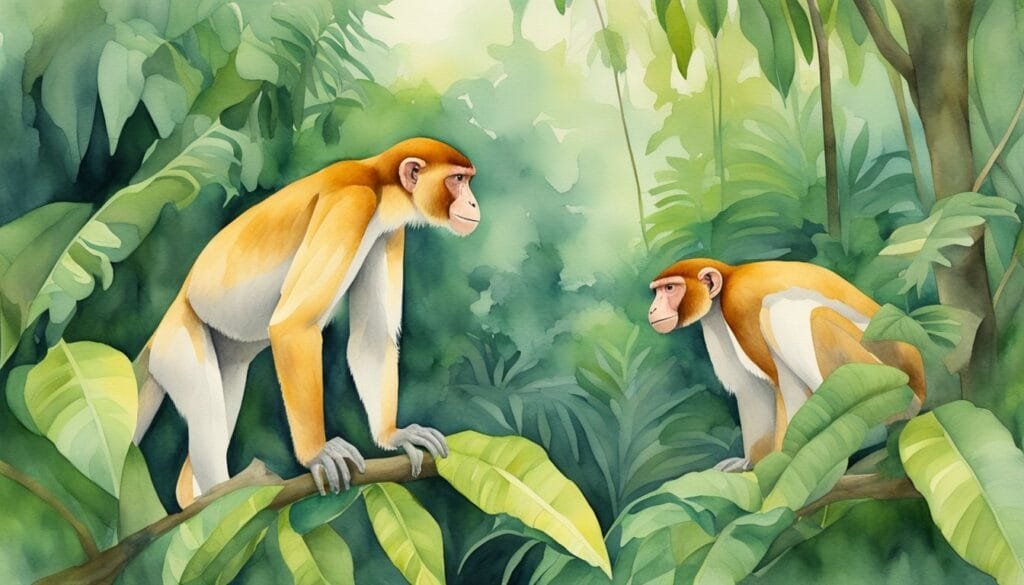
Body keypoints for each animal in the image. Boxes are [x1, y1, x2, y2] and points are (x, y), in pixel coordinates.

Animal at [131, 138, 481, 505]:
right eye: (458, 179)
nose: (472, 202)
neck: (376, 180)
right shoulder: (352, 204)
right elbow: (293, 325)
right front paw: (317, 454)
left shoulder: (388, 232)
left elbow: (371, 340)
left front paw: (393, 435)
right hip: (178, 342)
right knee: (205, 408)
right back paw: (219, 499)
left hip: (225, 354)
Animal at [647, 258, 925, 472]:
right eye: (658, 291)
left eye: (670, 288)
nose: (652, 310)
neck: (727, 280)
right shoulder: (716, 319)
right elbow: (751, 389)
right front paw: (751, 463)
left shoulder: (739, 303)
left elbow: (780, 383)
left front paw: (782, 461)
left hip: (890, 382)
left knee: (791, 315)